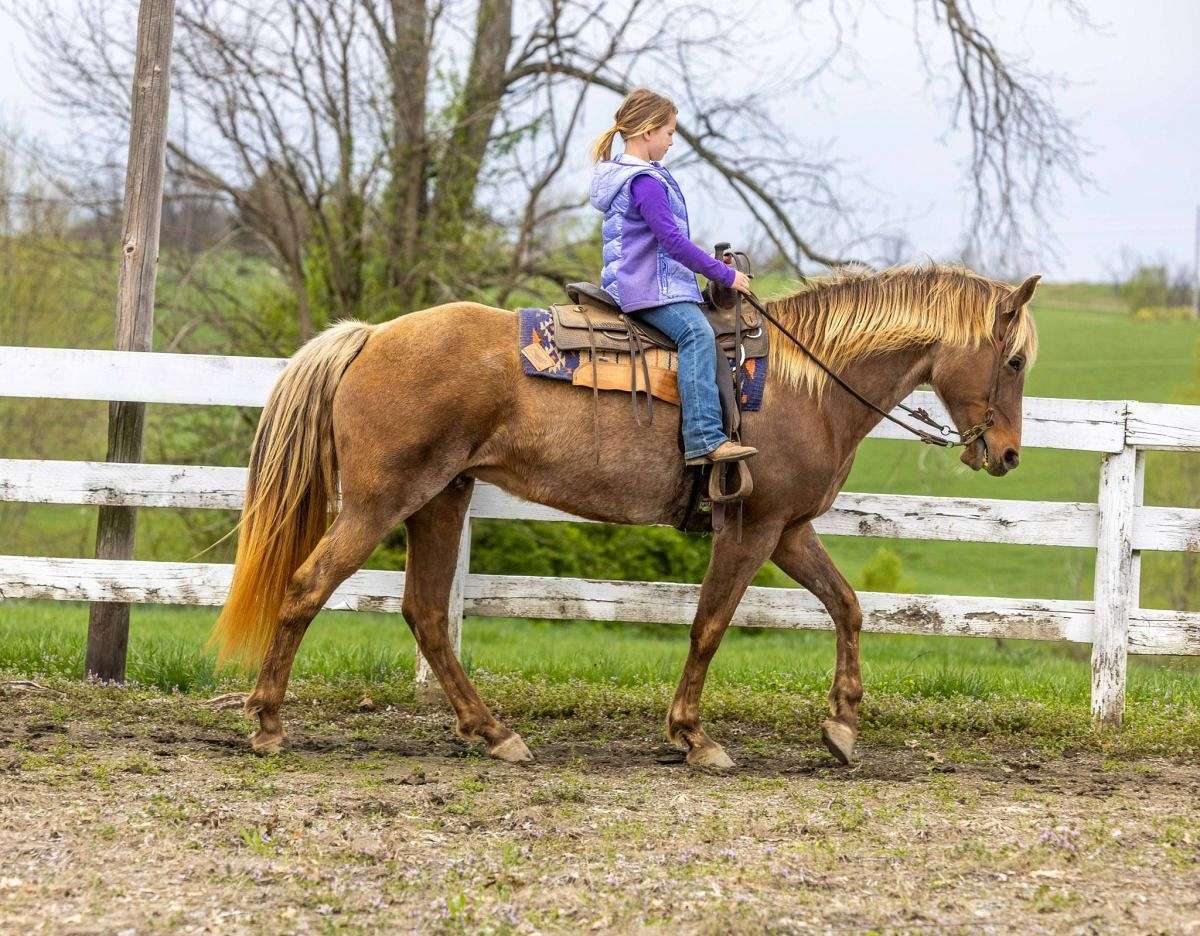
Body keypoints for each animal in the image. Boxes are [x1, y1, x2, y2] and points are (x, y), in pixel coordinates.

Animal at [211, 263, 1040, 769]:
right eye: (1015, 360)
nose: (1006, 455)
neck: (807, 382)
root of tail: (371, 336)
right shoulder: (752, 529)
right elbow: (710, 624)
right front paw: (694, 736)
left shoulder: (789, 531)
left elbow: (847, 605)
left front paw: (840, 725)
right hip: (381, 501)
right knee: (306, 588)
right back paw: (268, 724)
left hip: (441, 500)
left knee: (424, 613)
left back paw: (494, 732)